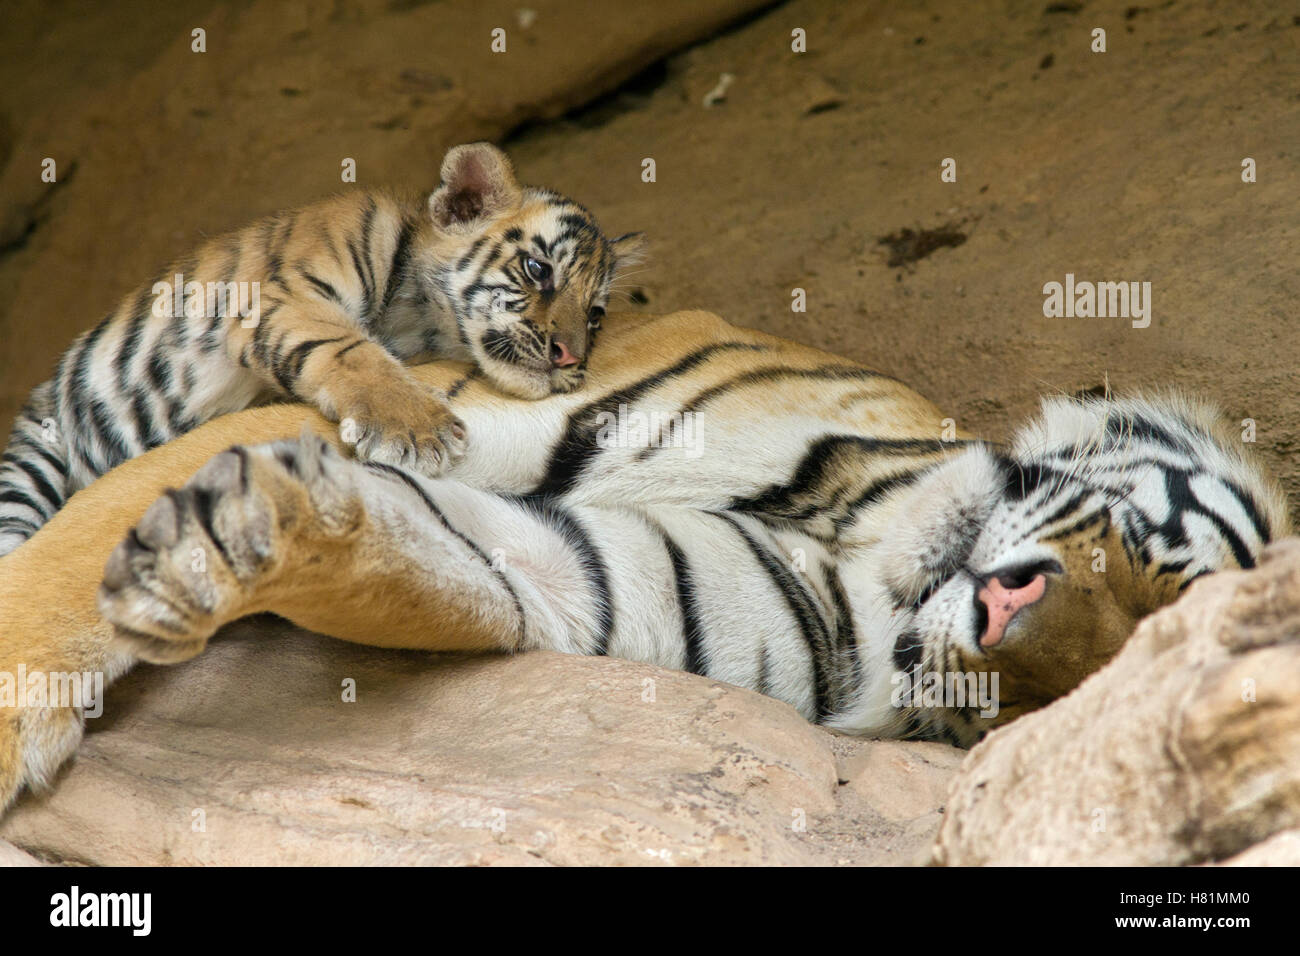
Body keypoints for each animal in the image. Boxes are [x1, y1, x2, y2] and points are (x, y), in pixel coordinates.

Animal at [0, 142, 645, 557]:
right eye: (538, 270)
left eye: (595, 316)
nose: (570, 357)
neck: (421, 321)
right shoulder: (283, 296)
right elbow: (348, 348)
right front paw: (416, 431)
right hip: (33, 456)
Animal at [0, 309, 1287, 814]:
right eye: (1141, 570)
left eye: (1047, 706)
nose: (1004, 631)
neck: (874, 544)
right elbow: (68, 564)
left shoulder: (600, 582)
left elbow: (438, 562)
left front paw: (278, 530)